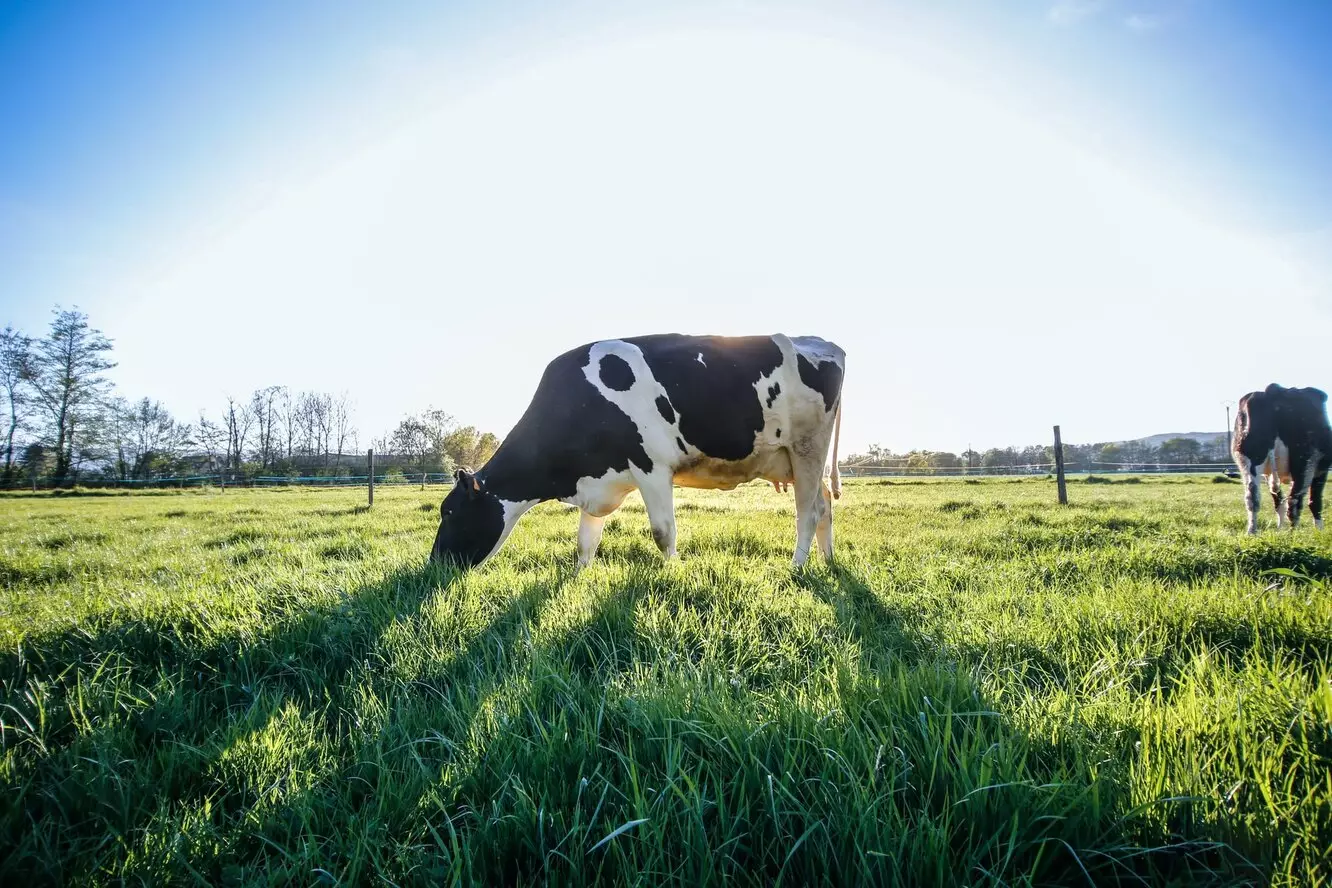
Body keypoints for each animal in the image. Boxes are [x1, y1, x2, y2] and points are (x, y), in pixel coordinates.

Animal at [431, 332, 847, 569]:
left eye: (448, 512)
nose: (434, 565)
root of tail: (821, 342)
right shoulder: (598, 480)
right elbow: (585, 542)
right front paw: (579, 577)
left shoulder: (652, 467)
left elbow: (663, 532)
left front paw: (674, 573)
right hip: (796, 459)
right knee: (825, 504)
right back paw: (827, 561)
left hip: (807, 448)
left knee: (808, 512)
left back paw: (797, 567)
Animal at [1230, 383, 1326, 535]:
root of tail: (1272, 391)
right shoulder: (1322, 468)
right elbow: (1315, 501)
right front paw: (1319, 531)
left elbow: (1277, 499)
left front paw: (1280, 528)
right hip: (1304, 460)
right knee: (1295, 500)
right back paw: (1294, 533)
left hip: (1249, 459)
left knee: (1253, 496)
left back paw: (1252, 531)